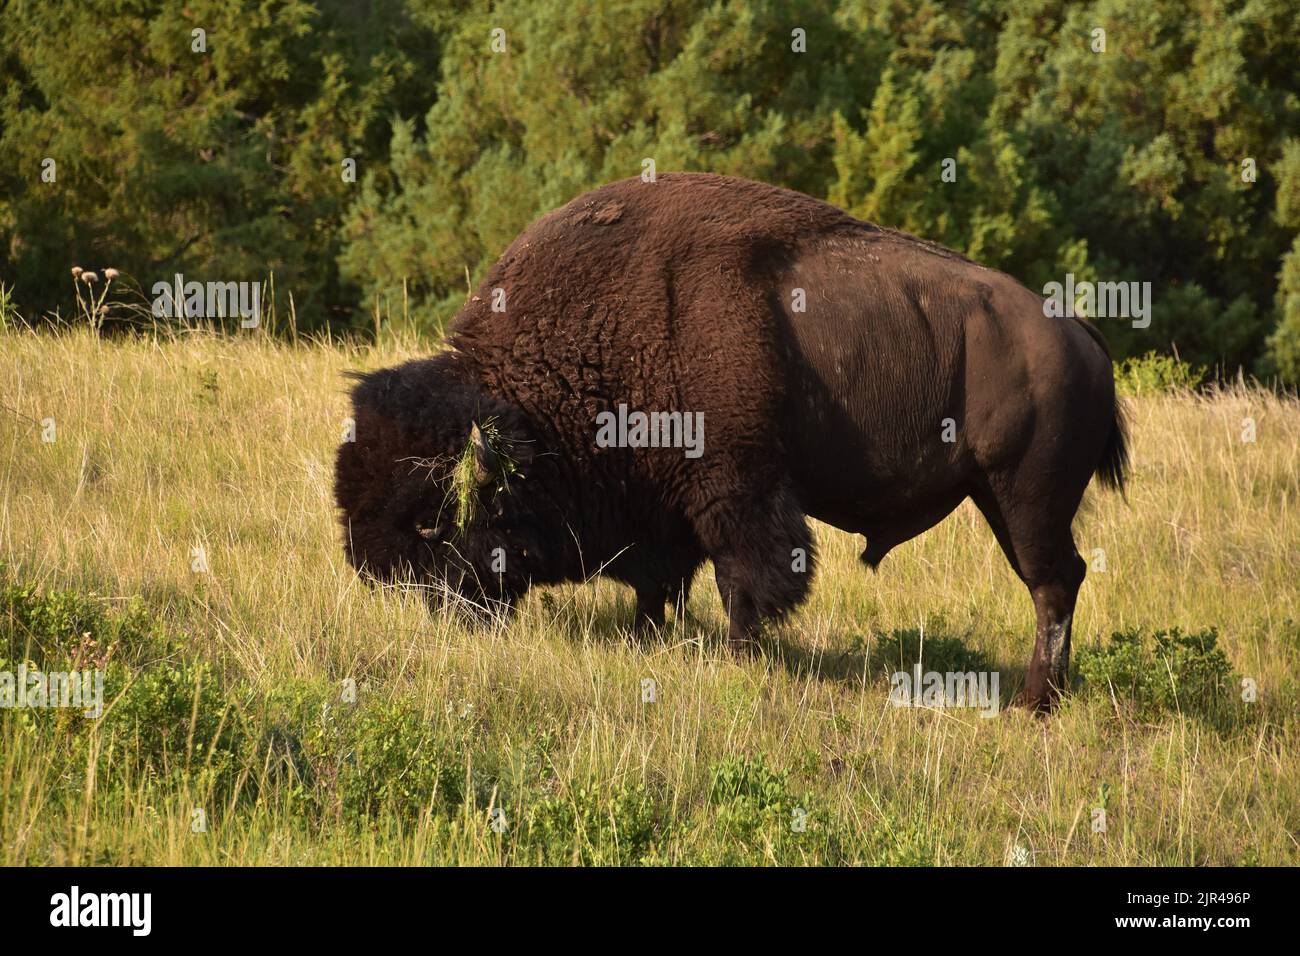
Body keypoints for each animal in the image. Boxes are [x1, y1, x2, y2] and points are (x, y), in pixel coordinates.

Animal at [334, 173, 1127, 711]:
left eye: (432, 521)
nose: (384, 582)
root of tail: (1081, 335)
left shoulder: (738, 491)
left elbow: (744, 581)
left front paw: (741, 657)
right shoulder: (668, 509)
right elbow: (662, 582)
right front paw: (650, 637)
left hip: (1024, 498)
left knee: (1053, 584)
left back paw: (1032, 704)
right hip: (1000, 497)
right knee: (1061, 579)